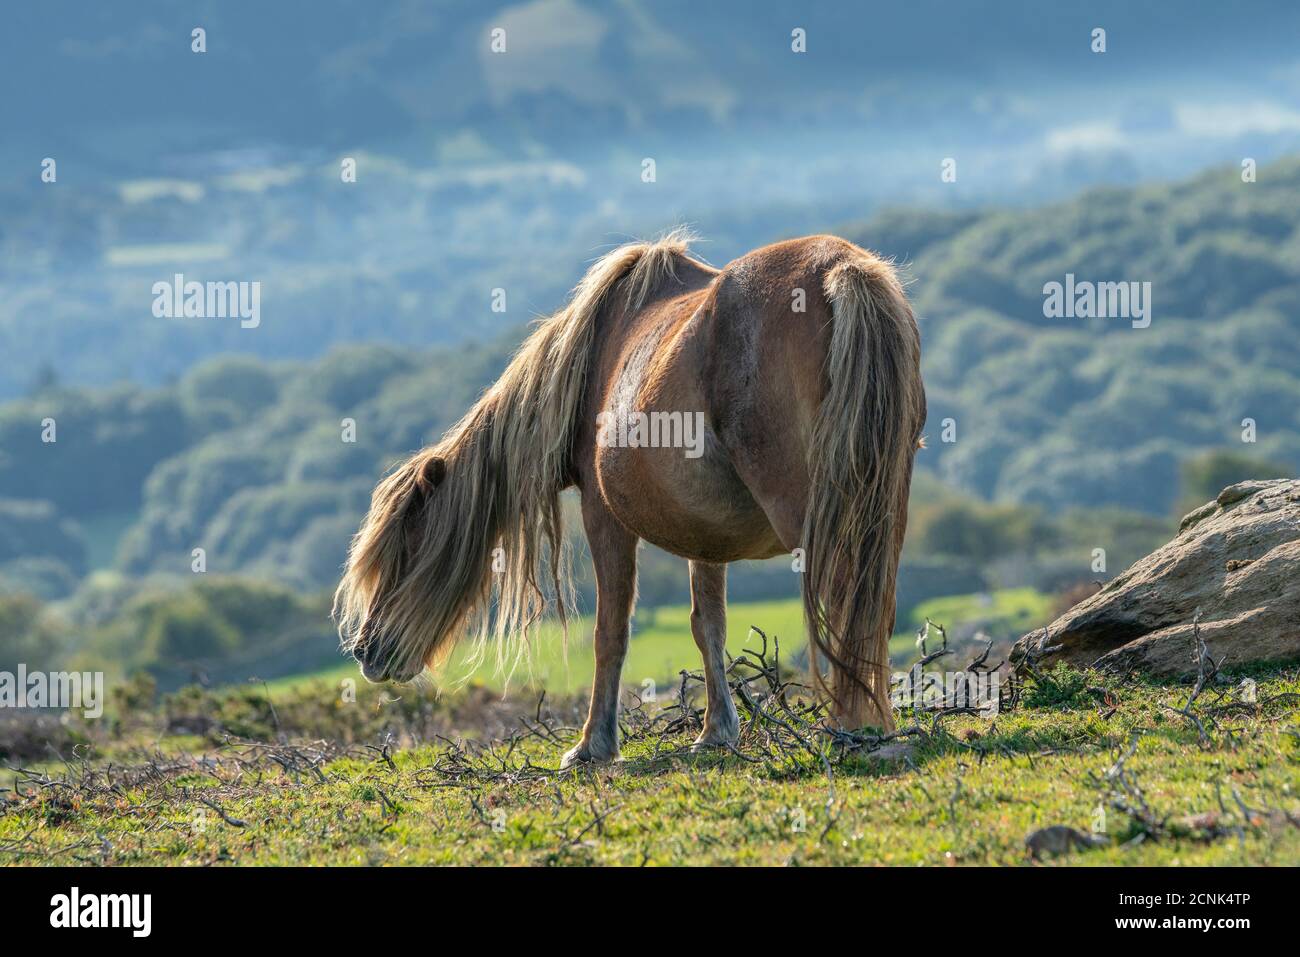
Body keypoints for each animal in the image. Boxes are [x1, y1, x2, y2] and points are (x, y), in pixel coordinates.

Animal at [335, 231, 926, 767]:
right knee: (874, 603)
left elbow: (610, 634)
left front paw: (592, 745)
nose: (365, 650)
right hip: (883, 507)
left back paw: (851, 727)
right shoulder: (705, 537)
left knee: (844, 597)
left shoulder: (604, 518)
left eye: (403, 551)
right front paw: (716, 733)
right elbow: (707, 626)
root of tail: (840, 270)